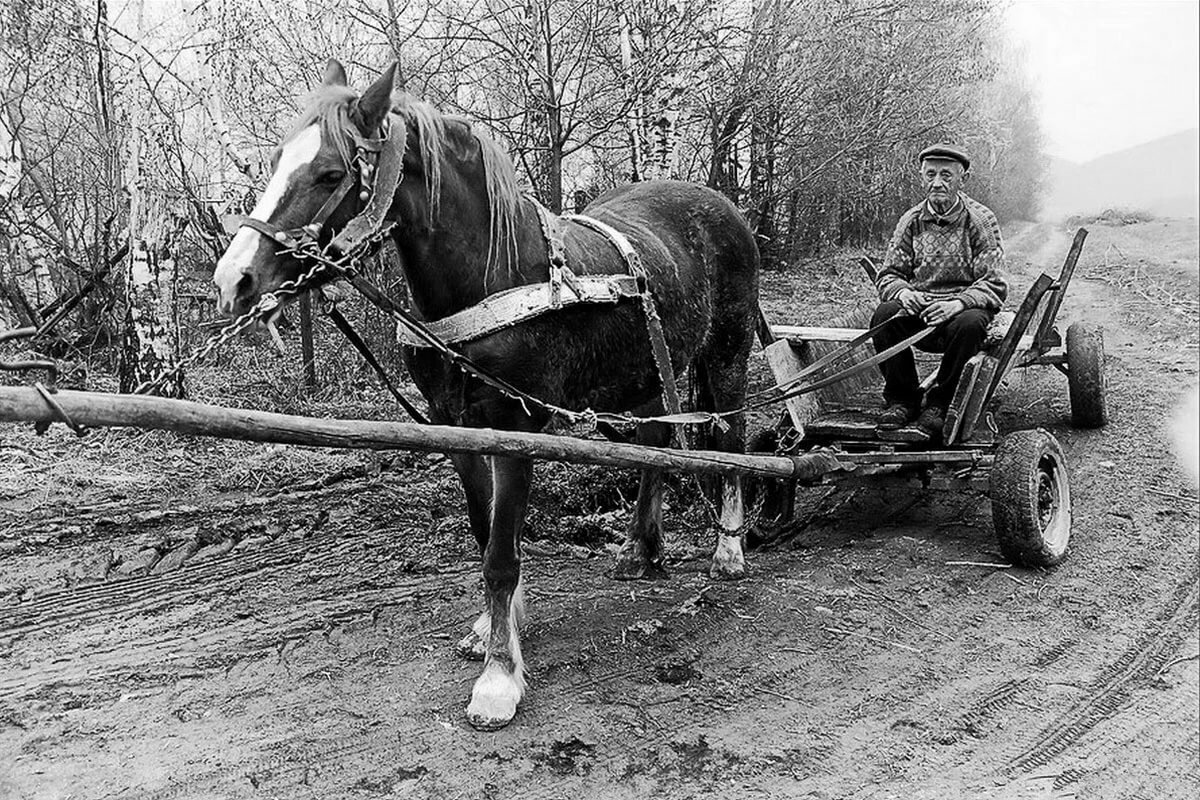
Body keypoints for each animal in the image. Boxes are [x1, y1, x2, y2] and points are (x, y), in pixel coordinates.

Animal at [213, 59, 758, 729]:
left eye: (331, 173)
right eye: (278, 160)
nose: (233, 280)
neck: (491, 276)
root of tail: (722, 206)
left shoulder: (515, 428)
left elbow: (501, 553)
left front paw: (499, 677)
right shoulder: (458, 427)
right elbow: (486, 531)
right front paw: (499, 629)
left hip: (725, 357)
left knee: (730, 442)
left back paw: (728, 549)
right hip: (641, 381)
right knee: (653, 446)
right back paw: (640, 547)